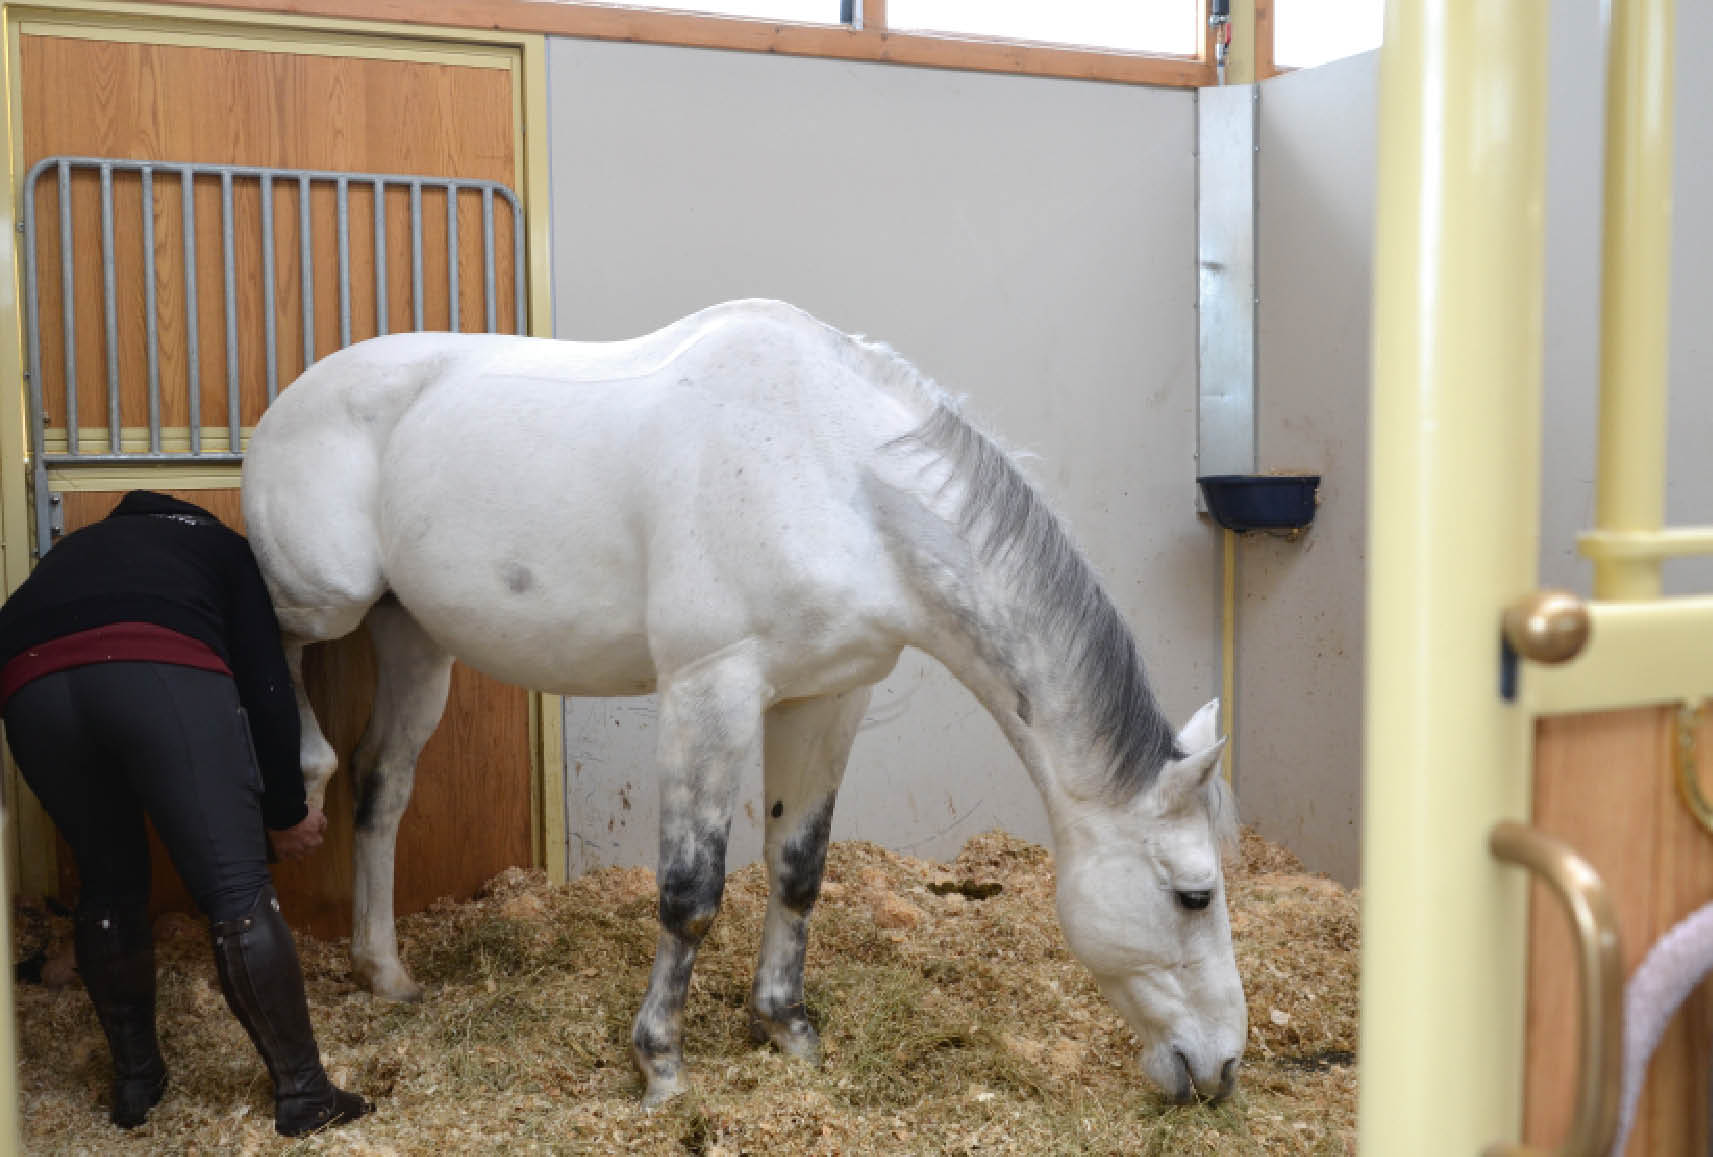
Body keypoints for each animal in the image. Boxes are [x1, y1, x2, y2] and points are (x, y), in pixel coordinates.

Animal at [239, 299, 1247, 1107]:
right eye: (1193, 895)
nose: (1223, 1065)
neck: (839, 479)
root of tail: (295, 395)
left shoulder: (829, 696)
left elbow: (797, 867)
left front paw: (786, 1027)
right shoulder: (708, 690)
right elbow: (691, 891)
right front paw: (660, 1064)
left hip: (416, 637)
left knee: (381, 786)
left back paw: (384, 971)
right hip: (331, 597)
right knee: (278, 637)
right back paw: (303, 769)